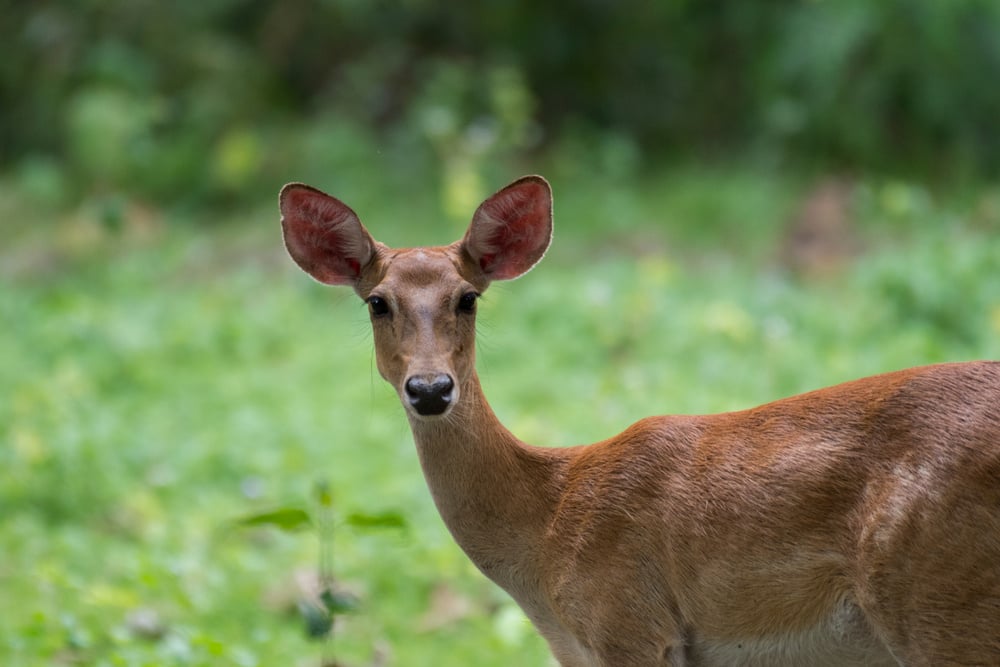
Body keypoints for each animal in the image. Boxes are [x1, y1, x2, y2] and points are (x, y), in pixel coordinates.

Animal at [279, 175, 1000, 666]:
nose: (430, 388)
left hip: (940, 594)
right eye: (377, 302)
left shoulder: (629, 622)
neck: (546, 527)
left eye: (468, 298)